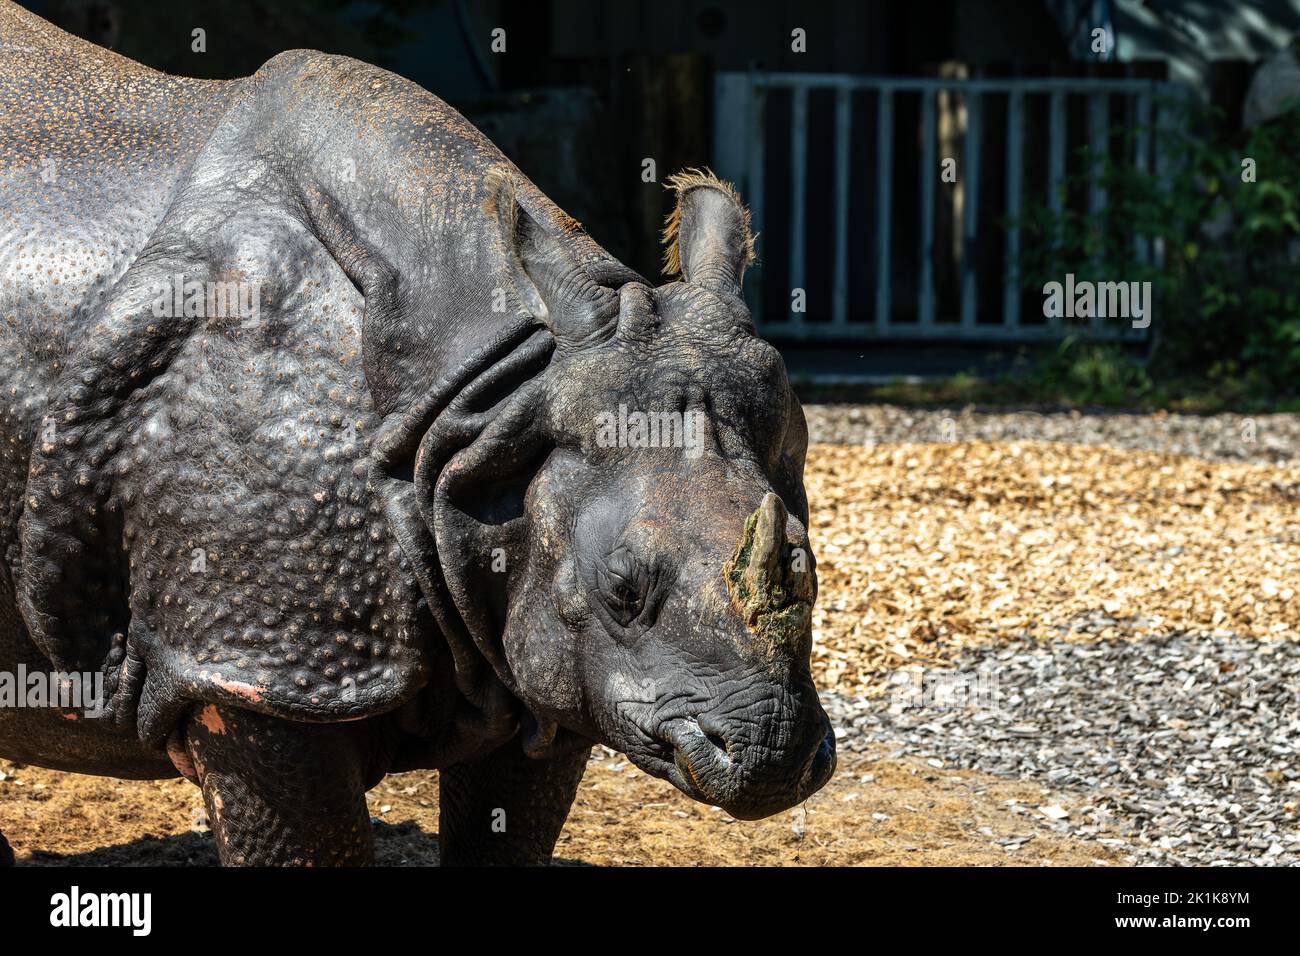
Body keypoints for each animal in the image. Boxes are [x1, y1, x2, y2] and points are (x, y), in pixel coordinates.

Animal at [0, 1, 834, 866]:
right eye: (622, 591)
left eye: (810, 565)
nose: (769, 754)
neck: (490, 401)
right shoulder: (250, 667)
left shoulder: (553, 654)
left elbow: (507, 828)